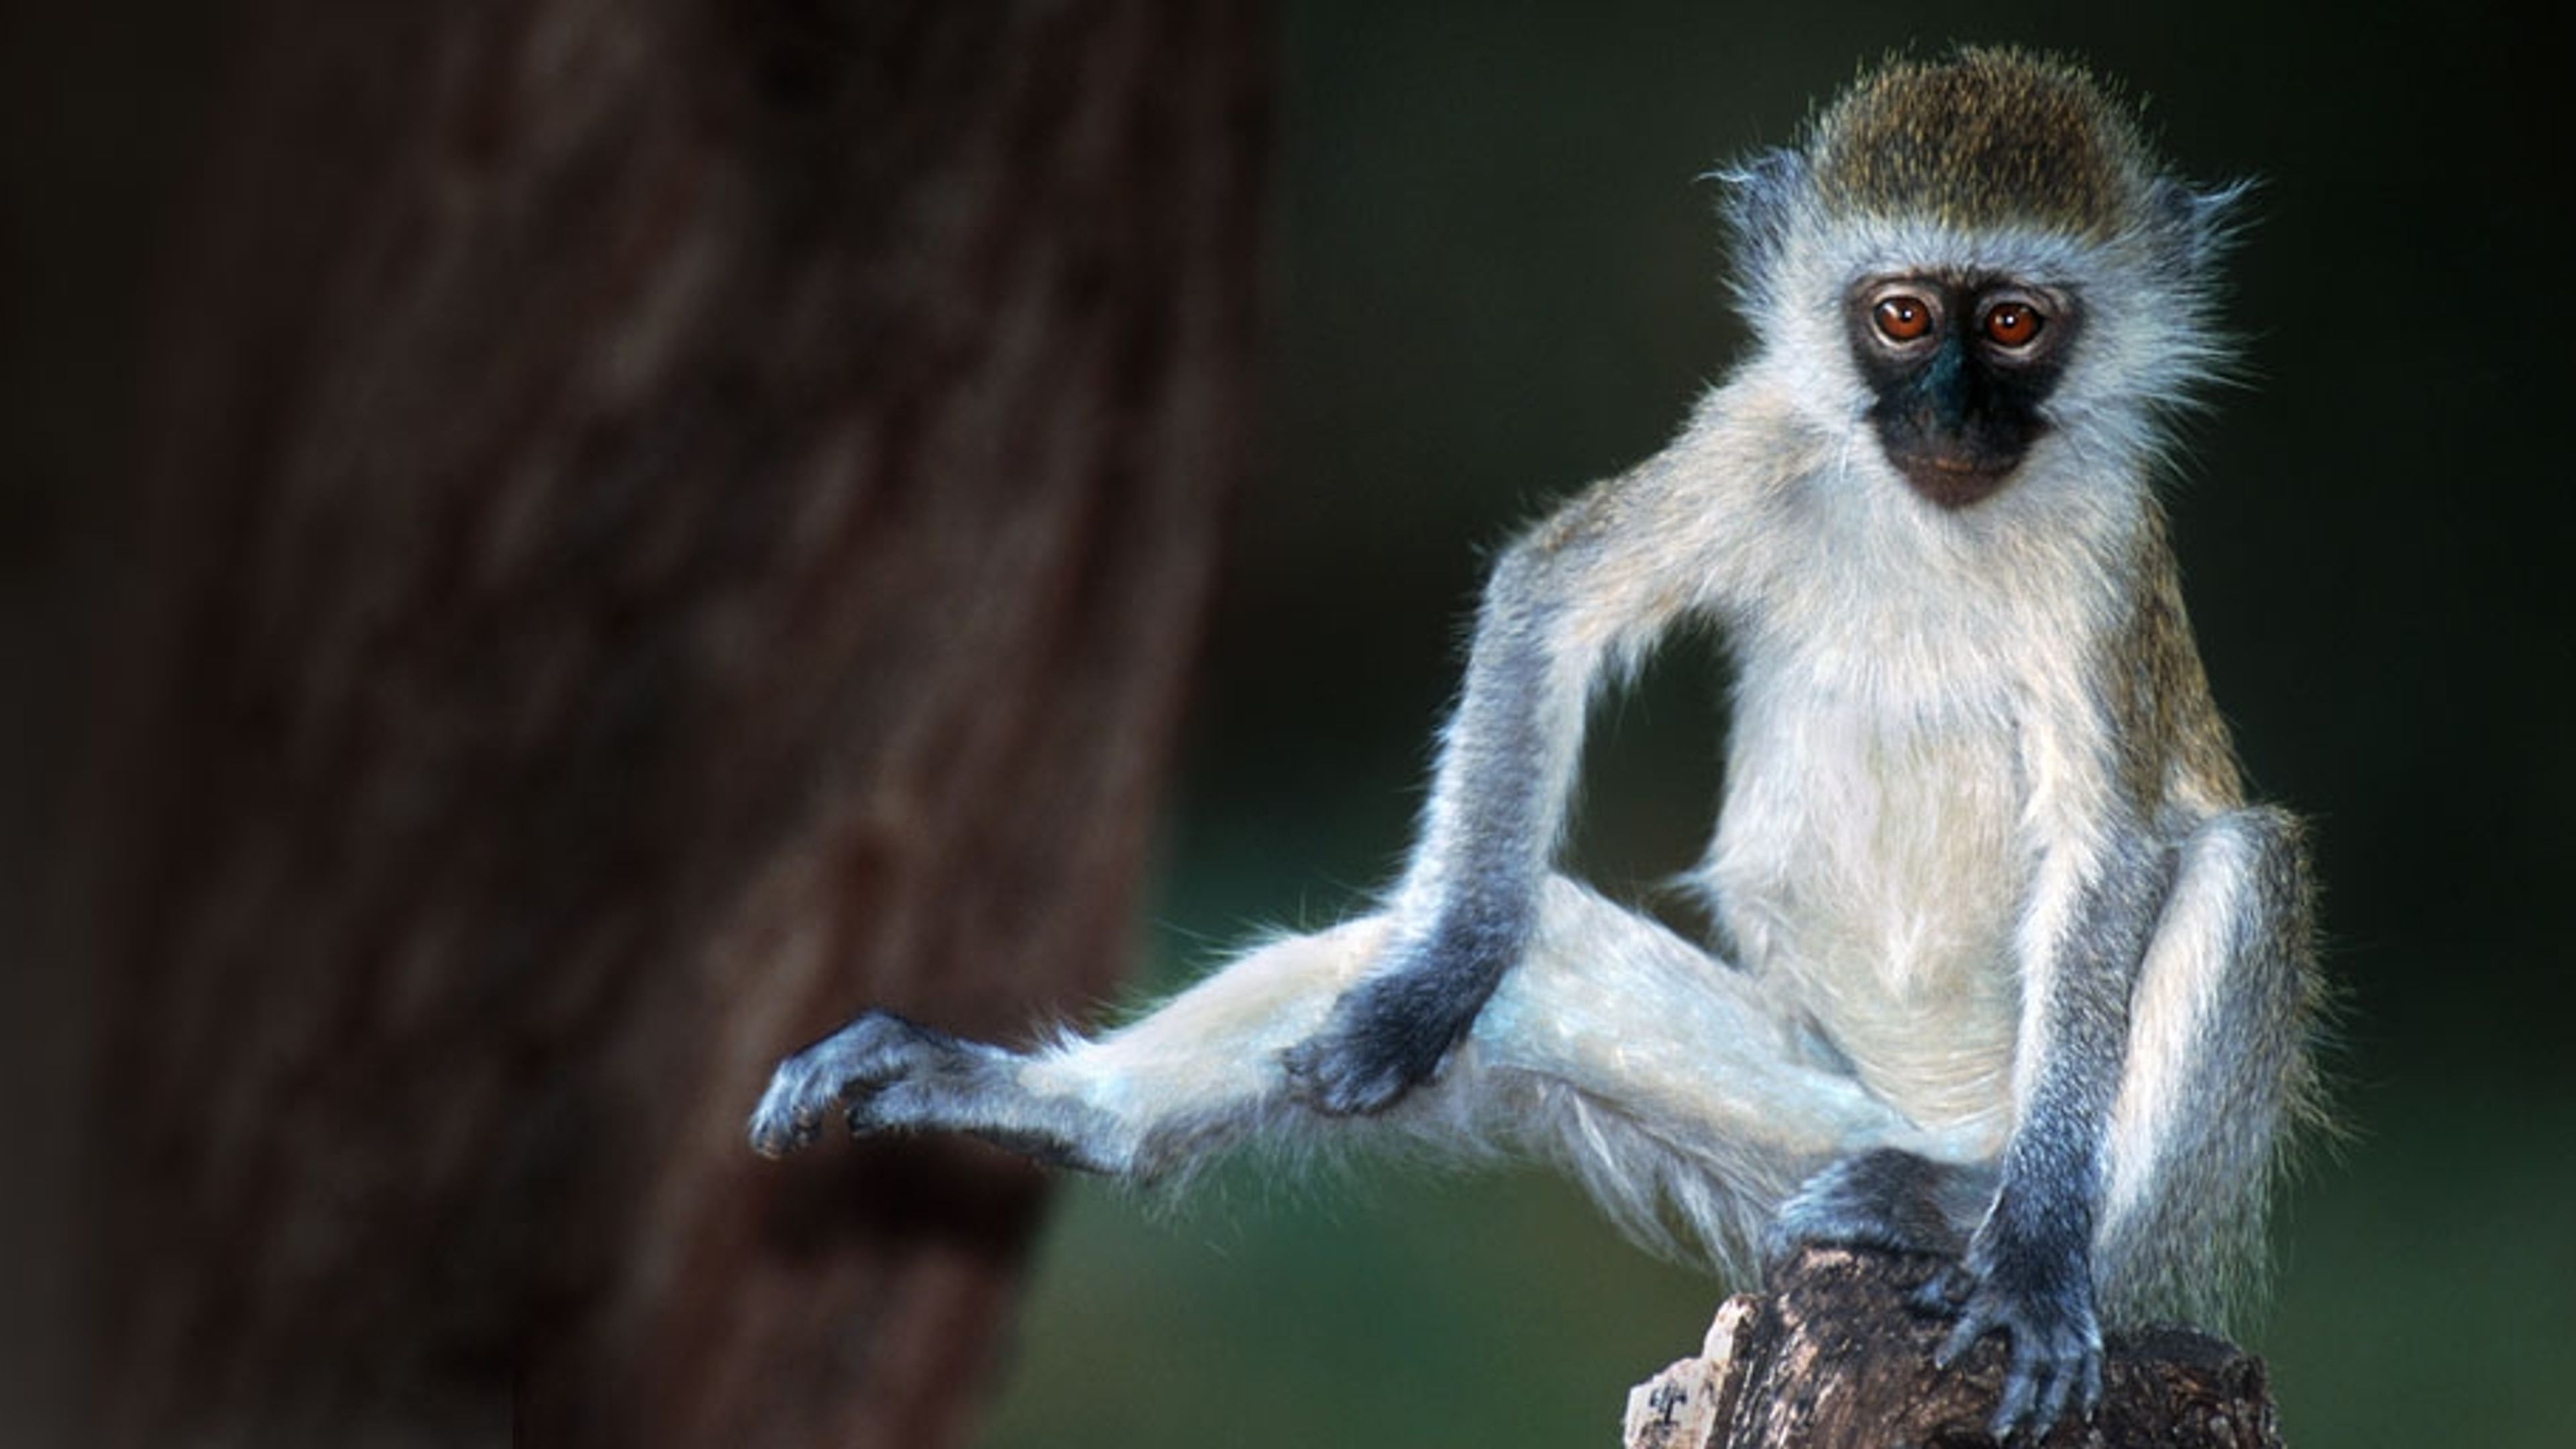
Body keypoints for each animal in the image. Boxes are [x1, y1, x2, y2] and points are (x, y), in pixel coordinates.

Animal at [750, 47, 2324, 1440]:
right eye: (1898, 317)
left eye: (2010, 327)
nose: (1950, 411)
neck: (1935, 519)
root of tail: (1940, 1127)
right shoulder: (1750, 433)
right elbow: (1548, 601)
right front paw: (1431, 984)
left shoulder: (2107, 555)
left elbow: (2111, 851)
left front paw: (2044, 1256)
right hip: (1804, 1115)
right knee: (1540, 954)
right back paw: (1061, 1107)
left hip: (2074, 1172)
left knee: (2246, 867)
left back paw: (1983, 1225)